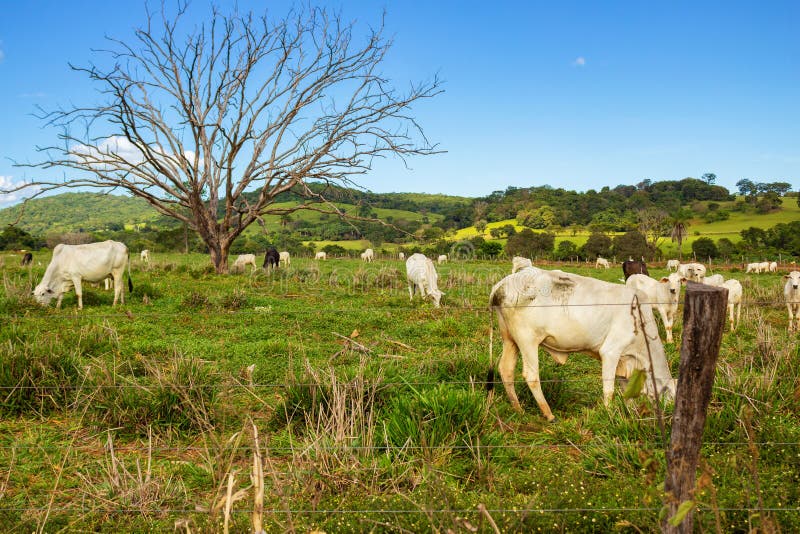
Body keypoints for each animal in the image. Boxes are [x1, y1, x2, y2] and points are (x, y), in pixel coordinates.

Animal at [490, 267, 676, 421]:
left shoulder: (624, 361)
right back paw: (549, 414)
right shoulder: (611, 352)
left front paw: (631, 413)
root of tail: (501, 284)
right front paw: (610, 413)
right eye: (672, 398)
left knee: (506, 370)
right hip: (527, 340)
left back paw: (518, 408)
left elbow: (626, 391)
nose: (669, 416)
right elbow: (609, 389)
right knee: (531, 375)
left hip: (510, 340)